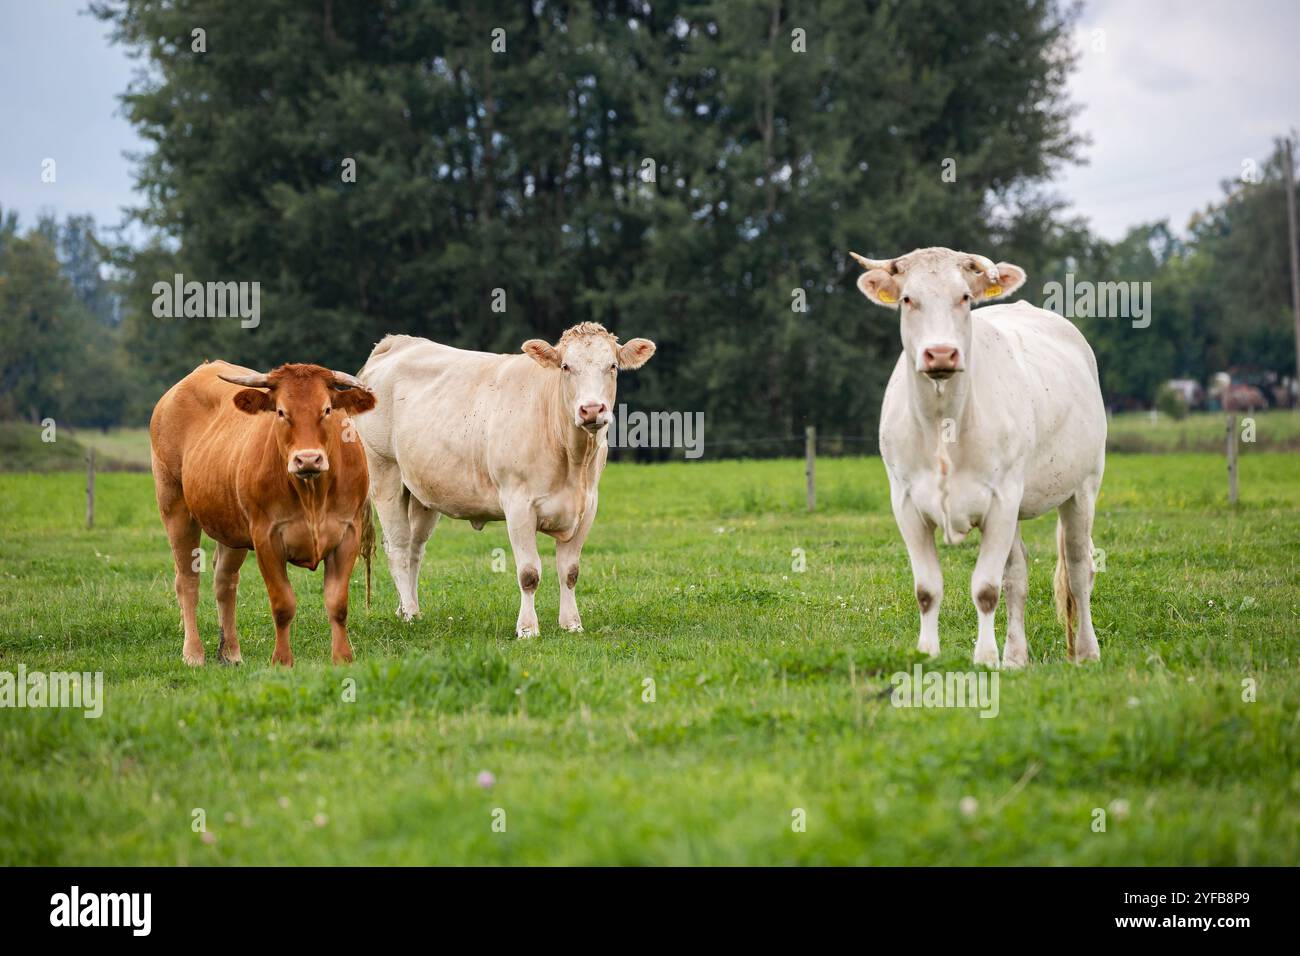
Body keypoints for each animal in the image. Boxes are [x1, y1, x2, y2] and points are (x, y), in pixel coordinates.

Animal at [149, 361, 377, 666]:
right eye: (281, 412)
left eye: (327, 409)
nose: (307, 459)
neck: (312, 495)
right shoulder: (266, 537)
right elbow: (283, 604)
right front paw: (281, 661)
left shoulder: (348, 534)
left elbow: (337, 604)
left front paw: (343, 659)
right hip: (174, 506)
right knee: (188, 581)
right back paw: (194, 653)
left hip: (230, 527)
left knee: (224, 581)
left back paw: (230, 652)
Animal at [354, 322, 656, 637]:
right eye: (565, 366)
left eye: (612, 366)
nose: (592, 409)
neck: (572, 458)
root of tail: (397, 342)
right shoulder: (518, 504)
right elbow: (529, 573)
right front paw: (527, 629)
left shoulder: (587, 507)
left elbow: (570, 571)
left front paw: (571, 623)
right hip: (385, 472)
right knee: (398, 548)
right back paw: (410, 614)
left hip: (422, 492)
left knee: (415, 549)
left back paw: (408, 608)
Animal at [851, 247, 1107, 668]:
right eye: (907, 299)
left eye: (965, 297)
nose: (940, 353)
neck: (943, 425)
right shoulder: (905, 502)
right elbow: (928, 589)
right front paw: (928, 653)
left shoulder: (1001, 500)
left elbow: (986, 589)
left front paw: (985, 658)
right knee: (1018, 575)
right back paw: (1016, 656)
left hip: (1082, 488)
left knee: (1077, 567)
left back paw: (1086, 651)